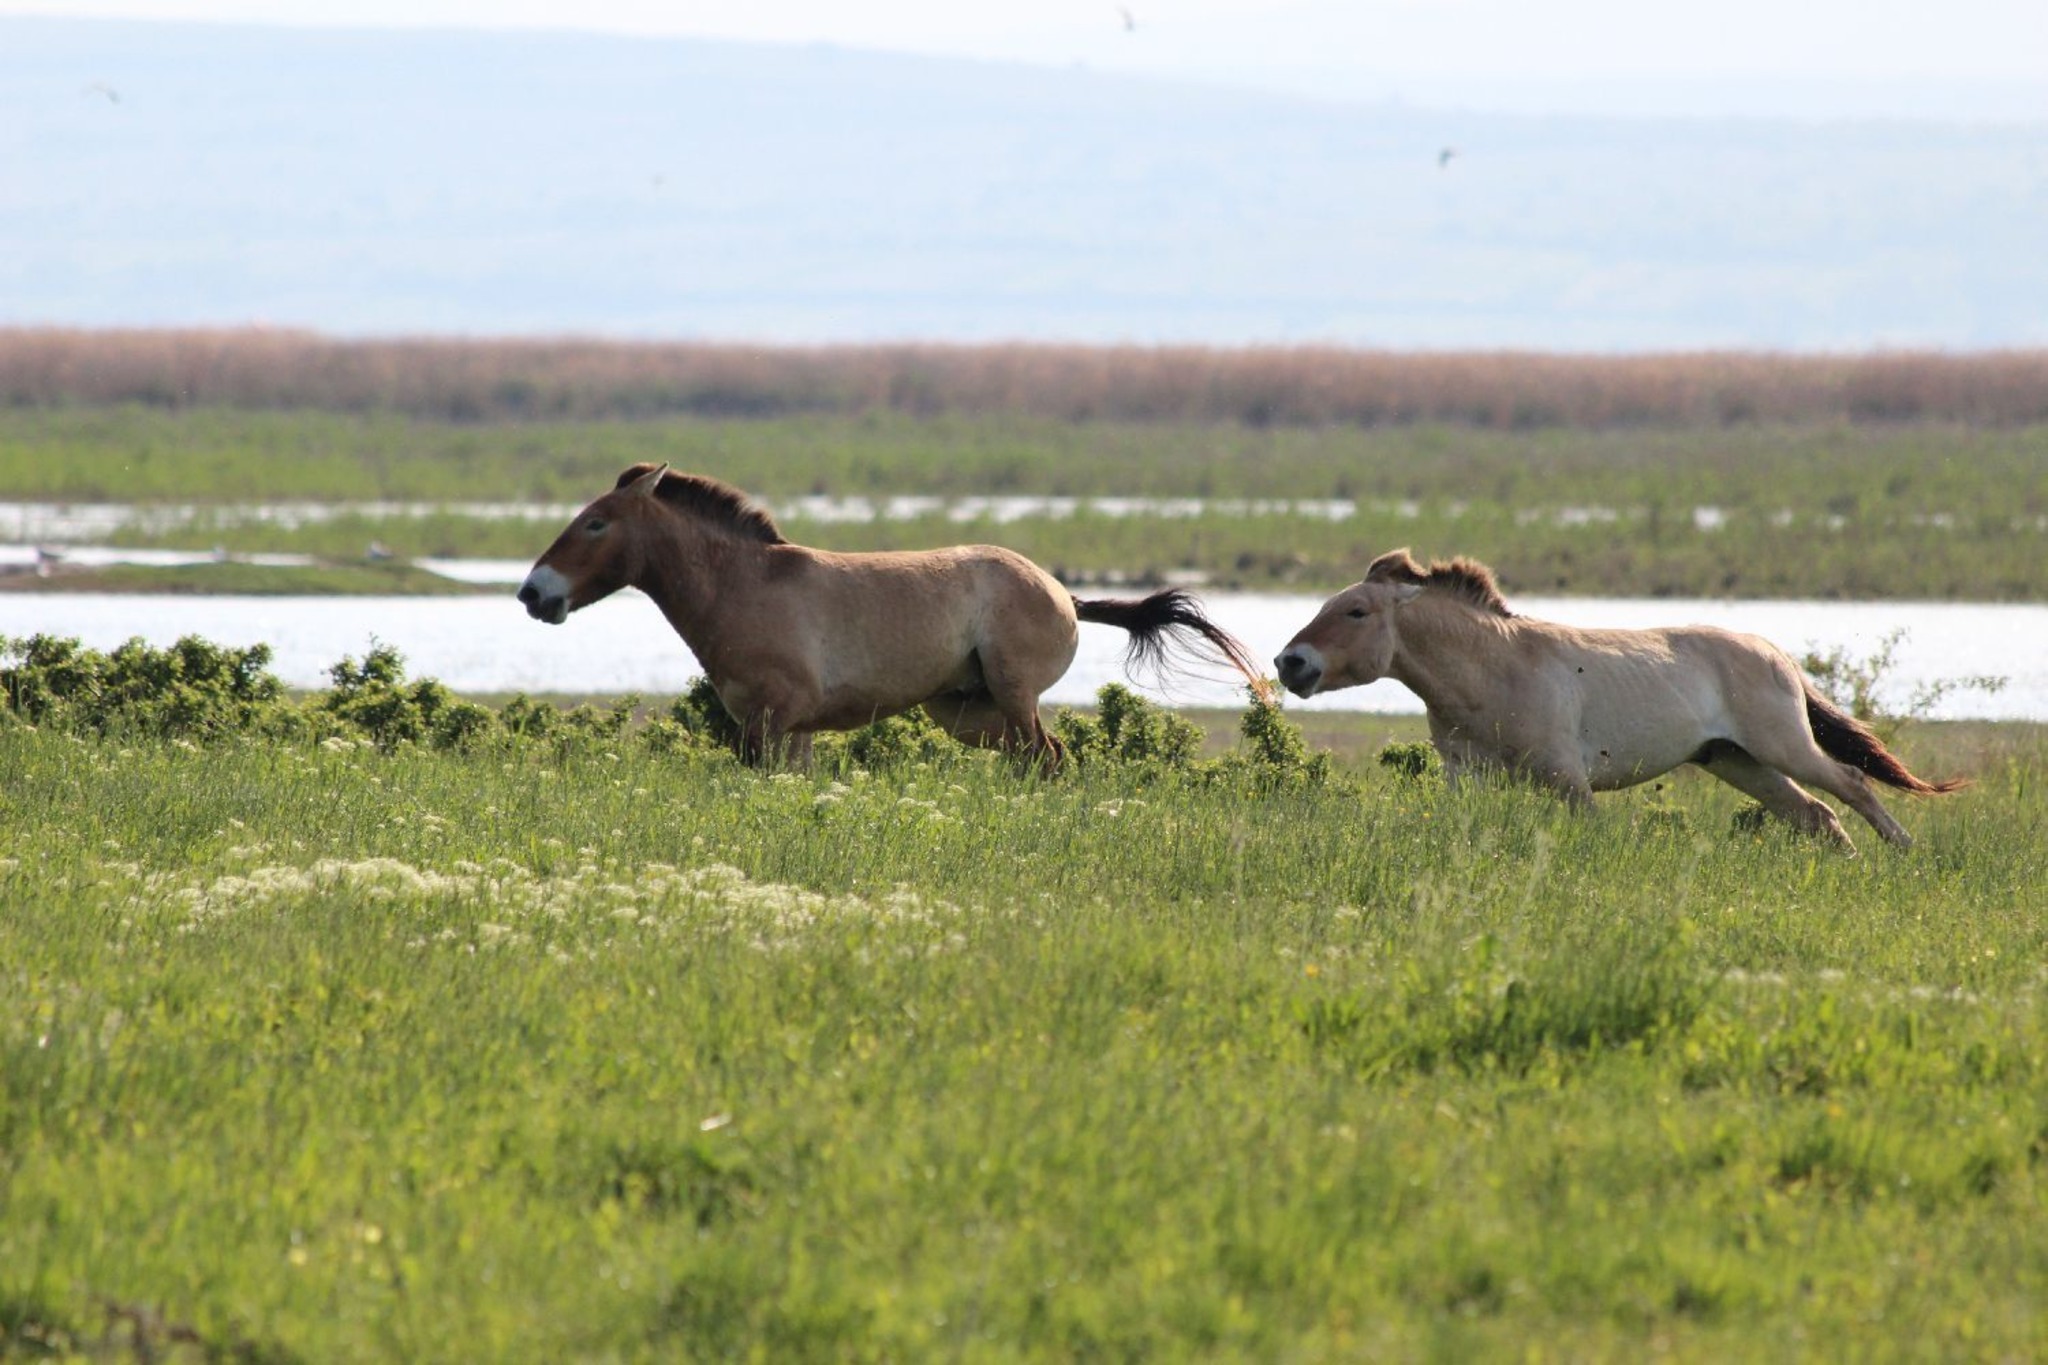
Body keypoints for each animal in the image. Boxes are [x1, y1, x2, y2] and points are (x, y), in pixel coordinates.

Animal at [518, 463, 1269, 768]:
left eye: (595, 523)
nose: (532, 593)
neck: (746, 585)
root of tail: (1065, 594)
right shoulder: (792, 730)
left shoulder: (768, 723)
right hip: (968, 712)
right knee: (1038, 757)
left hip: (1013, 694)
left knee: (1046, 757)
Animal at [1273, 549, 1963, 851]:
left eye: (1356, 611)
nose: (1290, 663)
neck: (1493, 672)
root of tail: (1775, 652)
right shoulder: (1466, 775)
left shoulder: (1566, 779)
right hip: (1736, 760)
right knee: (1815, 814)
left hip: (1782, 745)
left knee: (1851, 783)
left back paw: (1904, 855)